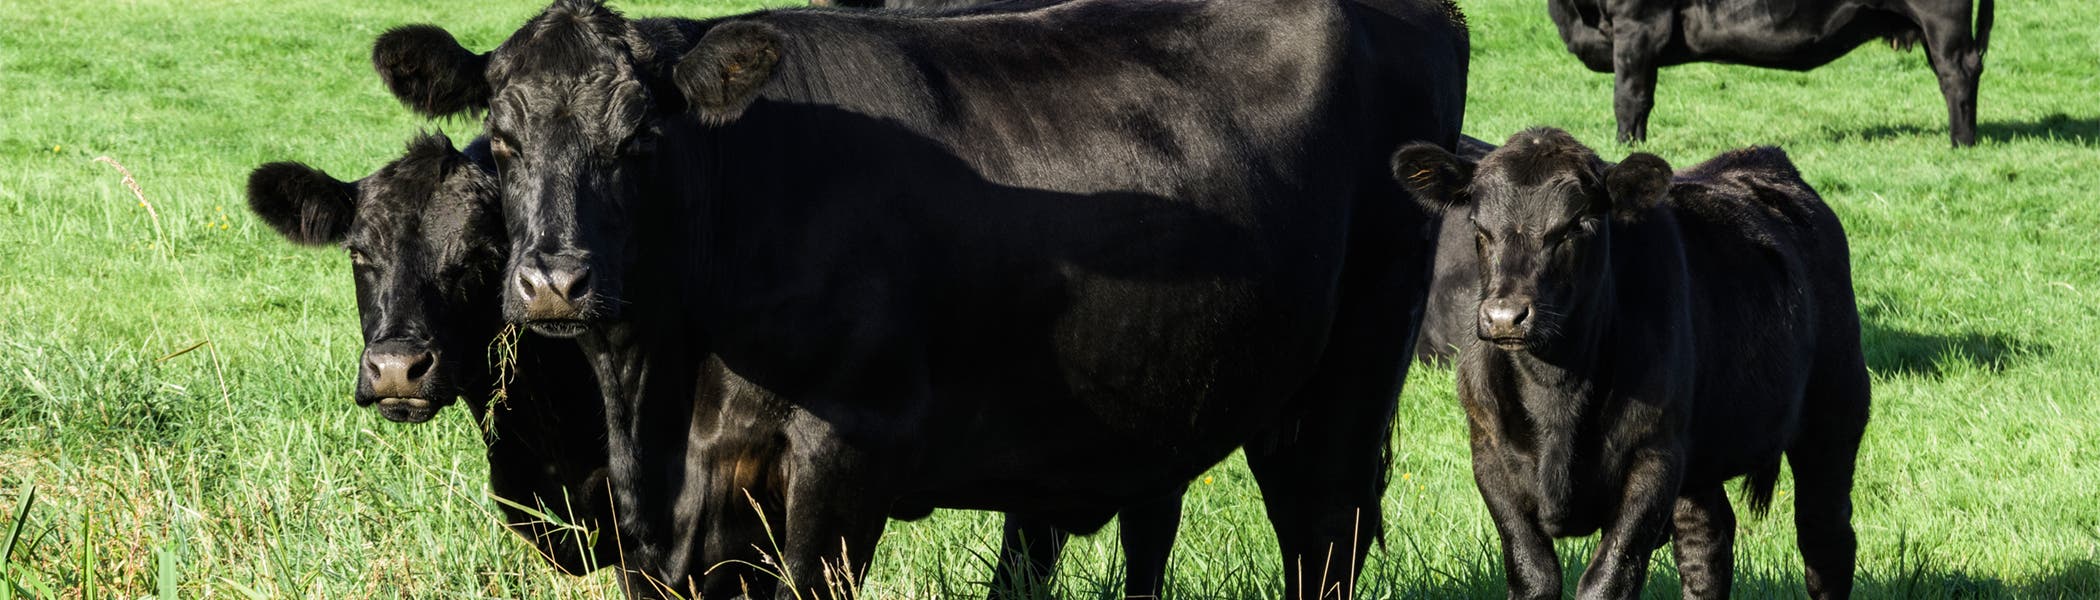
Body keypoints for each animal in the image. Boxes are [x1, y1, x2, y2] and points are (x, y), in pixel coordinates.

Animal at [368, 0, 1469, 596]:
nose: (554, 280)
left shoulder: (844, 456)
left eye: (640, 137)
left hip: (1349, 378)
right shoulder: (674, 524)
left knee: (1323, 537)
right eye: (503, 138)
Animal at [1390, 127, 1872, 599]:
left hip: (1835, 415)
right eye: (1478, 225)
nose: (1505, 316)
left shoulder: (1652, 458)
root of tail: (1763, 158)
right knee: (1706, 541)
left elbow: (1608, 578)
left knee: (1825, 538)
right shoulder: (1488, 454)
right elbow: (1533, 574)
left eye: (1576, 224)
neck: (1556, 392)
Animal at [1548, 0, 1993, 146]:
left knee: (1957, 72)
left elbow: (1629, 97)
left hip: (1942, 21)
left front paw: (1622, 146)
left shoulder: (1639, 26)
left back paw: (1961, 142)